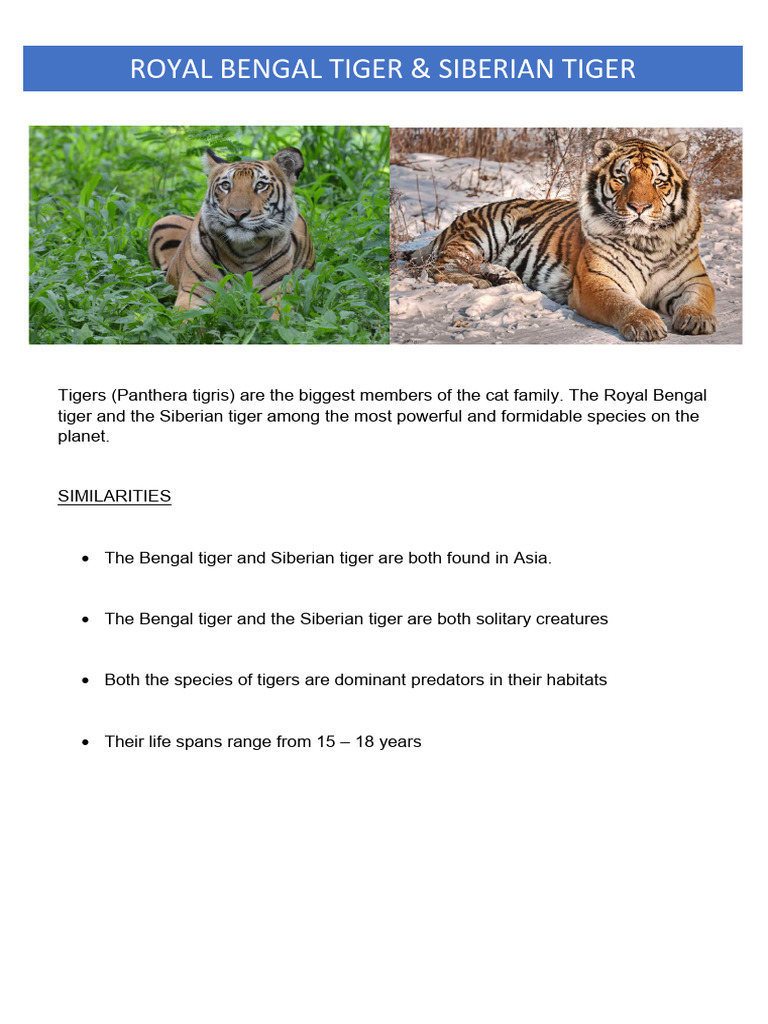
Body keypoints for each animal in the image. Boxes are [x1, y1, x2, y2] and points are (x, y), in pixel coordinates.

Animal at [148, 147, 314, 309]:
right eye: (226, 186)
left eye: (260, 185)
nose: (237, 213)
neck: (244, 251)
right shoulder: (194, 290)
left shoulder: (278, 291)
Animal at [410, 137, 716, 342]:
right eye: (622, 178)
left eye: (658, 182)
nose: (639, 208)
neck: (647, 242)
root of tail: (454, 222)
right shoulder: (596, 281)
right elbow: (623, 303)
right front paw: (645, 323)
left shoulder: (694, 279)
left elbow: (699, 299)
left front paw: (698, 319)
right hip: (485, 232)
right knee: (439, 266)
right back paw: (481, 281)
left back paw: (502, 277)